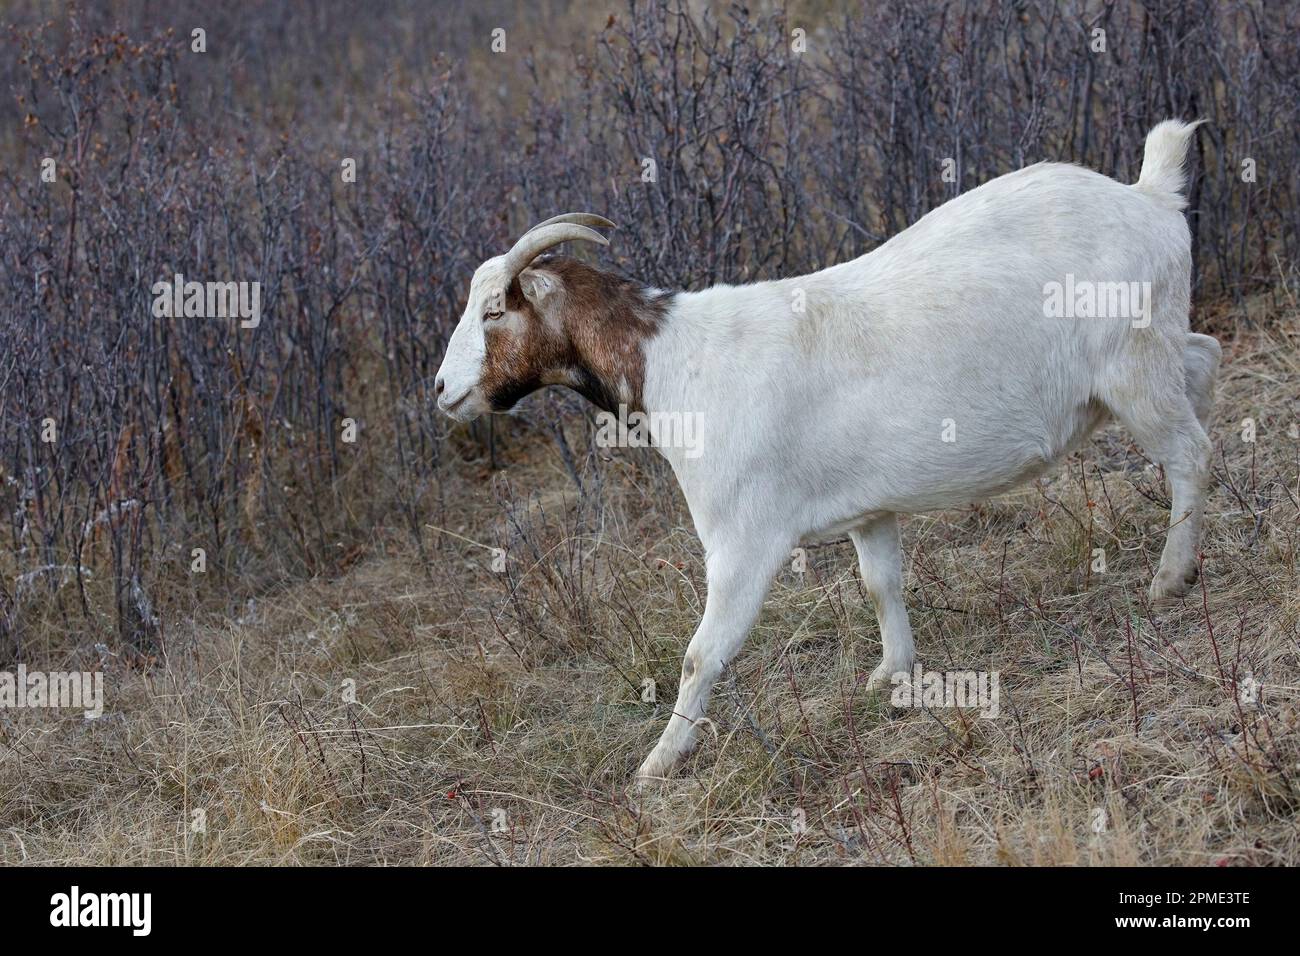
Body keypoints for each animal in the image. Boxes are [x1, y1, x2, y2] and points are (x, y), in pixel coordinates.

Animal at [435, 120, 1220, 781]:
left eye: (495, 309)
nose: (443, 389)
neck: (672, 360)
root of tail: (1149, 194)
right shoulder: (868, 508)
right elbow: (881, 584)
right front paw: (891, 674)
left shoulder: (743, 539)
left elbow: (701, 655)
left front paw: (657, 764)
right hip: (1155, 351)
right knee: (1205, 361)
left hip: (1132, 367)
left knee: (1189, 449)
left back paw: (1171, 574)